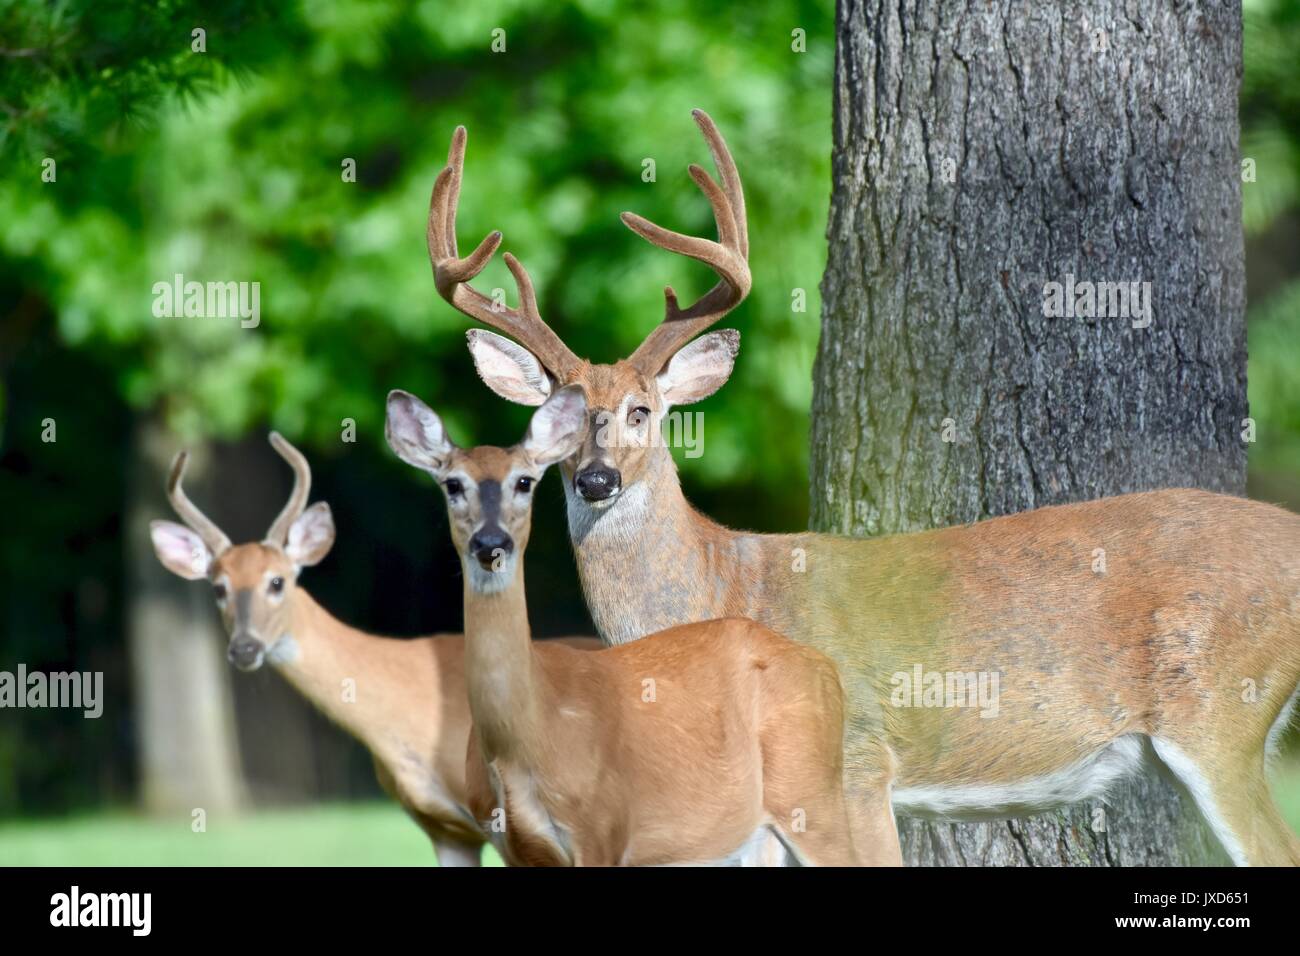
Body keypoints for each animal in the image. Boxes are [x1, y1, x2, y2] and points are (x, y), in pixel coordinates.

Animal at [385, 384, 859, 866]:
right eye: (452, 484)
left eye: (523, 481)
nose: (490, 543)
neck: (524, 741)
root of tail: (826, 668)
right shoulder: (510, 843)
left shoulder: (603, 828)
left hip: (813, 798)